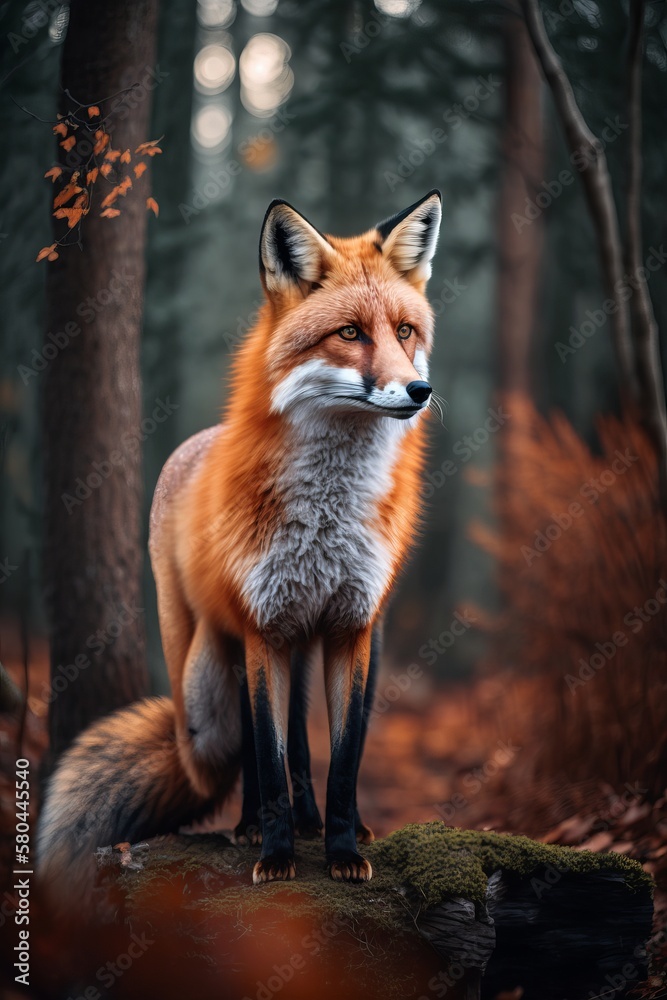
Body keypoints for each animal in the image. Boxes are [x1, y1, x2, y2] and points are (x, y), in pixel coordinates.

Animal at [37, 189, 442, 892]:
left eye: (404, 331)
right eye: (350, 333)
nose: (418, 392)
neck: (327, 518)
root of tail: (193, 443)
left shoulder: (351, 629)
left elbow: (341, 762)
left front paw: (341, 848)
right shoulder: (266, 628)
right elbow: (270, 755)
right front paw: (276, 855)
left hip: (334, 644)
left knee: (307, 747)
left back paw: (318, 824)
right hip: (210, 684)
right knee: (255, 749)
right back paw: (256, 825)